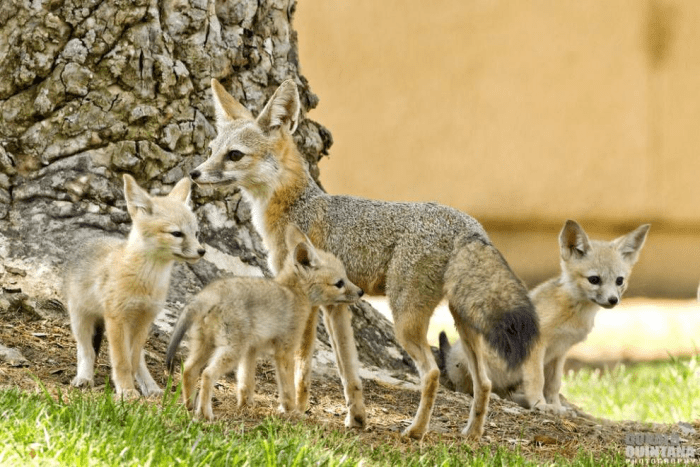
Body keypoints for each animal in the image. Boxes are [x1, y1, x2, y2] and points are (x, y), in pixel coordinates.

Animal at [64, 174, 205, 398]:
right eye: (177, 233)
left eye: (196, 233)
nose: (202, 251)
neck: (146, 281)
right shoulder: (116, 319)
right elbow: (121, 361)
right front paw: (126, 391)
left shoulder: (144, 320)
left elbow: (131, 360)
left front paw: (131, 387)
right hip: (81, 320)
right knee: (86, 351)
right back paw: (84, 377)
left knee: (139, 359)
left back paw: (150, 386)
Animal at [165, 224, 363, 420]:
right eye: (339, 283)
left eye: (346, 278)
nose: (361, 292)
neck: (293, 292)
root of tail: (209, 294)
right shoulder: (284, 351)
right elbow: (288, 388)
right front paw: (292, 412)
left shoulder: (251, 350)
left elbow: (246, 382)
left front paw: (246, 406)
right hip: (231, 351)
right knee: (207, 374)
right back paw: (206, 414)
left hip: (208, 346)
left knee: (188, 370)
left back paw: (189, 407)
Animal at [186, 78, 539, 439]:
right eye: (212, 149)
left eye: (234, 155)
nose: (194, 172)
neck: (296, 207)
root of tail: (467, 222)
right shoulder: (336, 305)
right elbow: (348, 369)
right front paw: (355, 418)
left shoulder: (309, 303)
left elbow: (302, 361)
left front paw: (295, 409)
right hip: (463, 324)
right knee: (483, 382)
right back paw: (472, 434)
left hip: (406, 322)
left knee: (432, 374)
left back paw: (415, 431)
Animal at [439, 220, 650, 414]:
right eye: (594, 279)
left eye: (619, 281)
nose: (613, 300)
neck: (572, 312)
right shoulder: (536, 347)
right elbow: (537, 380)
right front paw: (540, 404)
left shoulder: (560, 352)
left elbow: (554, 384)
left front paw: (556, 406)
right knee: (470, 388)